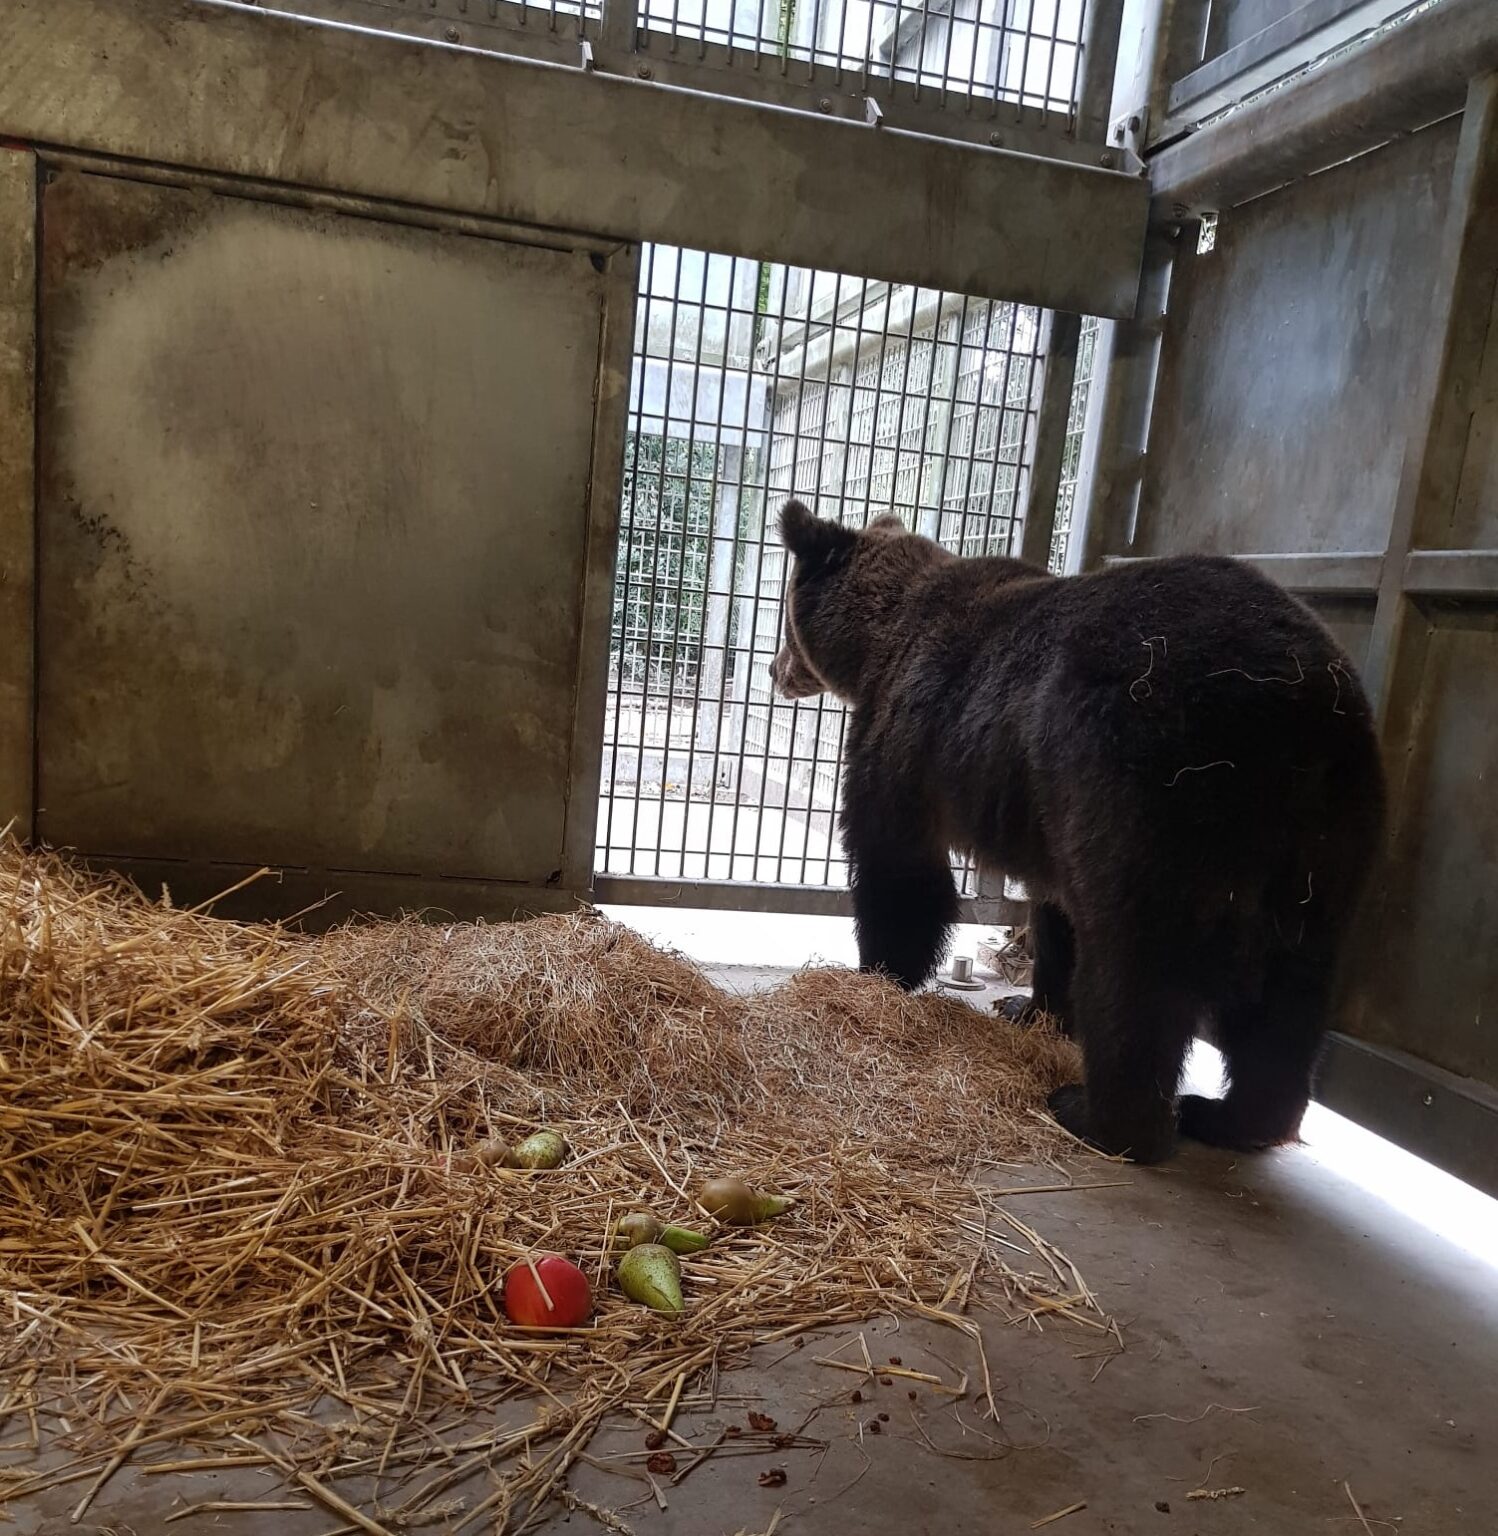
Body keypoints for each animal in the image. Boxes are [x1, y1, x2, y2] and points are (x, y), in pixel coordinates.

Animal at [770, 499, 1384, 1164]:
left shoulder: (909, 733)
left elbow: (897, 863)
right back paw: (1234, 1117)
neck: (877, 642)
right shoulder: (1041, 800)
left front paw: (878, 972)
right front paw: (1030, 1005)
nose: (774, 669)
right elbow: (1055, 909)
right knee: (1291, 991)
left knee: (1136, 966)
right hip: (1326, 838)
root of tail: (1294, 703)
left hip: (1149, 776)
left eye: (783, 622)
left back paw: (1099, 1115)